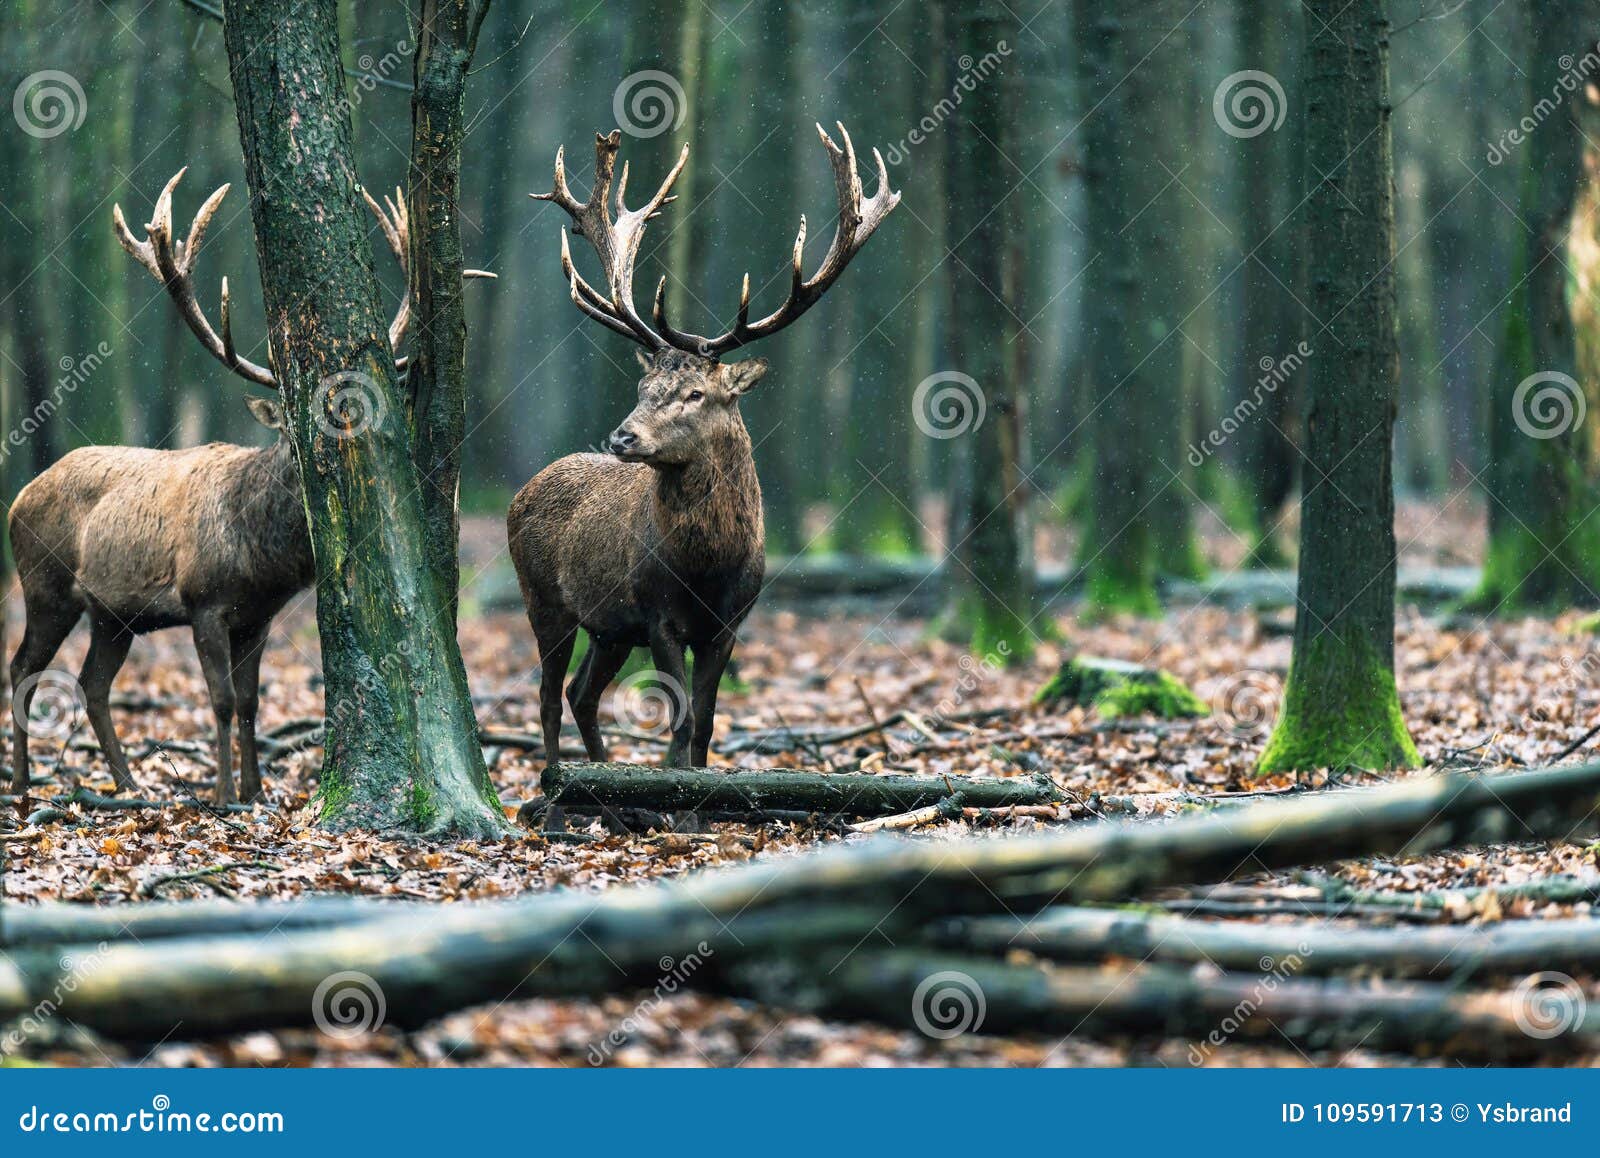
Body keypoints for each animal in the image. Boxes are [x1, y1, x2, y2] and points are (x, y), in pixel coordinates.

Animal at [8, 169, 439, 805]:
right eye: (291, 421)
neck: (260, 554)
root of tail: (17, 499)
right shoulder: (203, 599)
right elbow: (221, 700)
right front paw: (224, 794)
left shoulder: (257, 616)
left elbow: (253, 701)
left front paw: (257, 791)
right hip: (46, 586)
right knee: (24, 670)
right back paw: (21, 783)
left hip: (113, 615)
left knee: (91, 684)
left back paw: (128, 784)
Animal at [508, 124, 899, 773]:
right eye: (643, 389)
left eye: (695, 392)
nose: (621, 437)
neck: (706, 568)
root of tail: (521, 491)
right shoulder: (657, 614)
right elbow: (680, 717)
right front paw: (674, 781)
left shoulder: (730, 622)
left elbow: (708, 721)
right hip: (544, 599)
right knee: (546, 693)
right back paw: (554, 775)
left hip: (609, 628)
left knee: (580, 692)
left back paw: (598, 767)